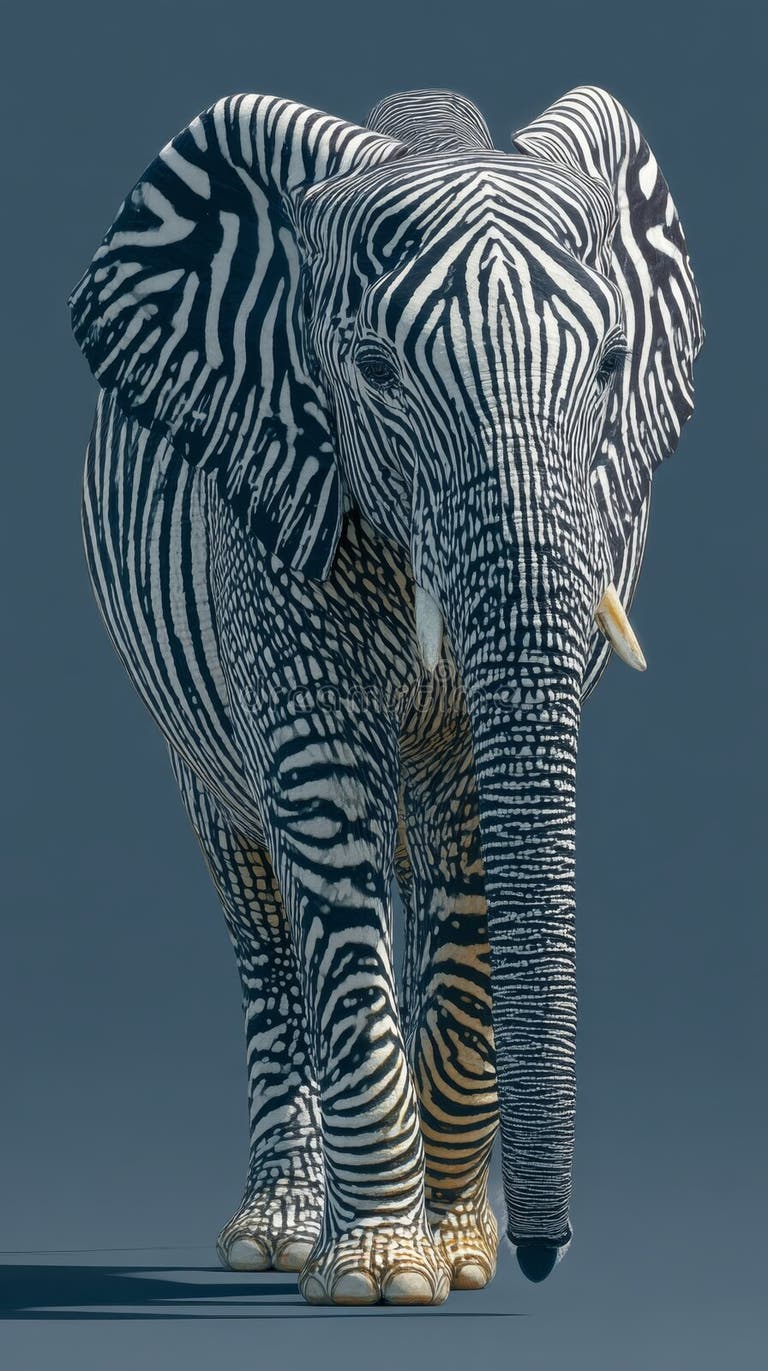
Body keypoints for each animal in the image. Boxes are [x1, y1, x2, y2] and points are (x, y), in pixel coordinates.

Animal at [68, 85, 703, 1305]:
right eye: (371, 368)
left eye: (610, 363)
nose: (548, 1258)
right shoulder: (274, 516)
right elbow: (325, 814)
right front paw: (379, 1278)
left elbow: (475, 839)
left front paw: (458, 1256)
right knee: (261, 903)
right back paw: (274, 1242)